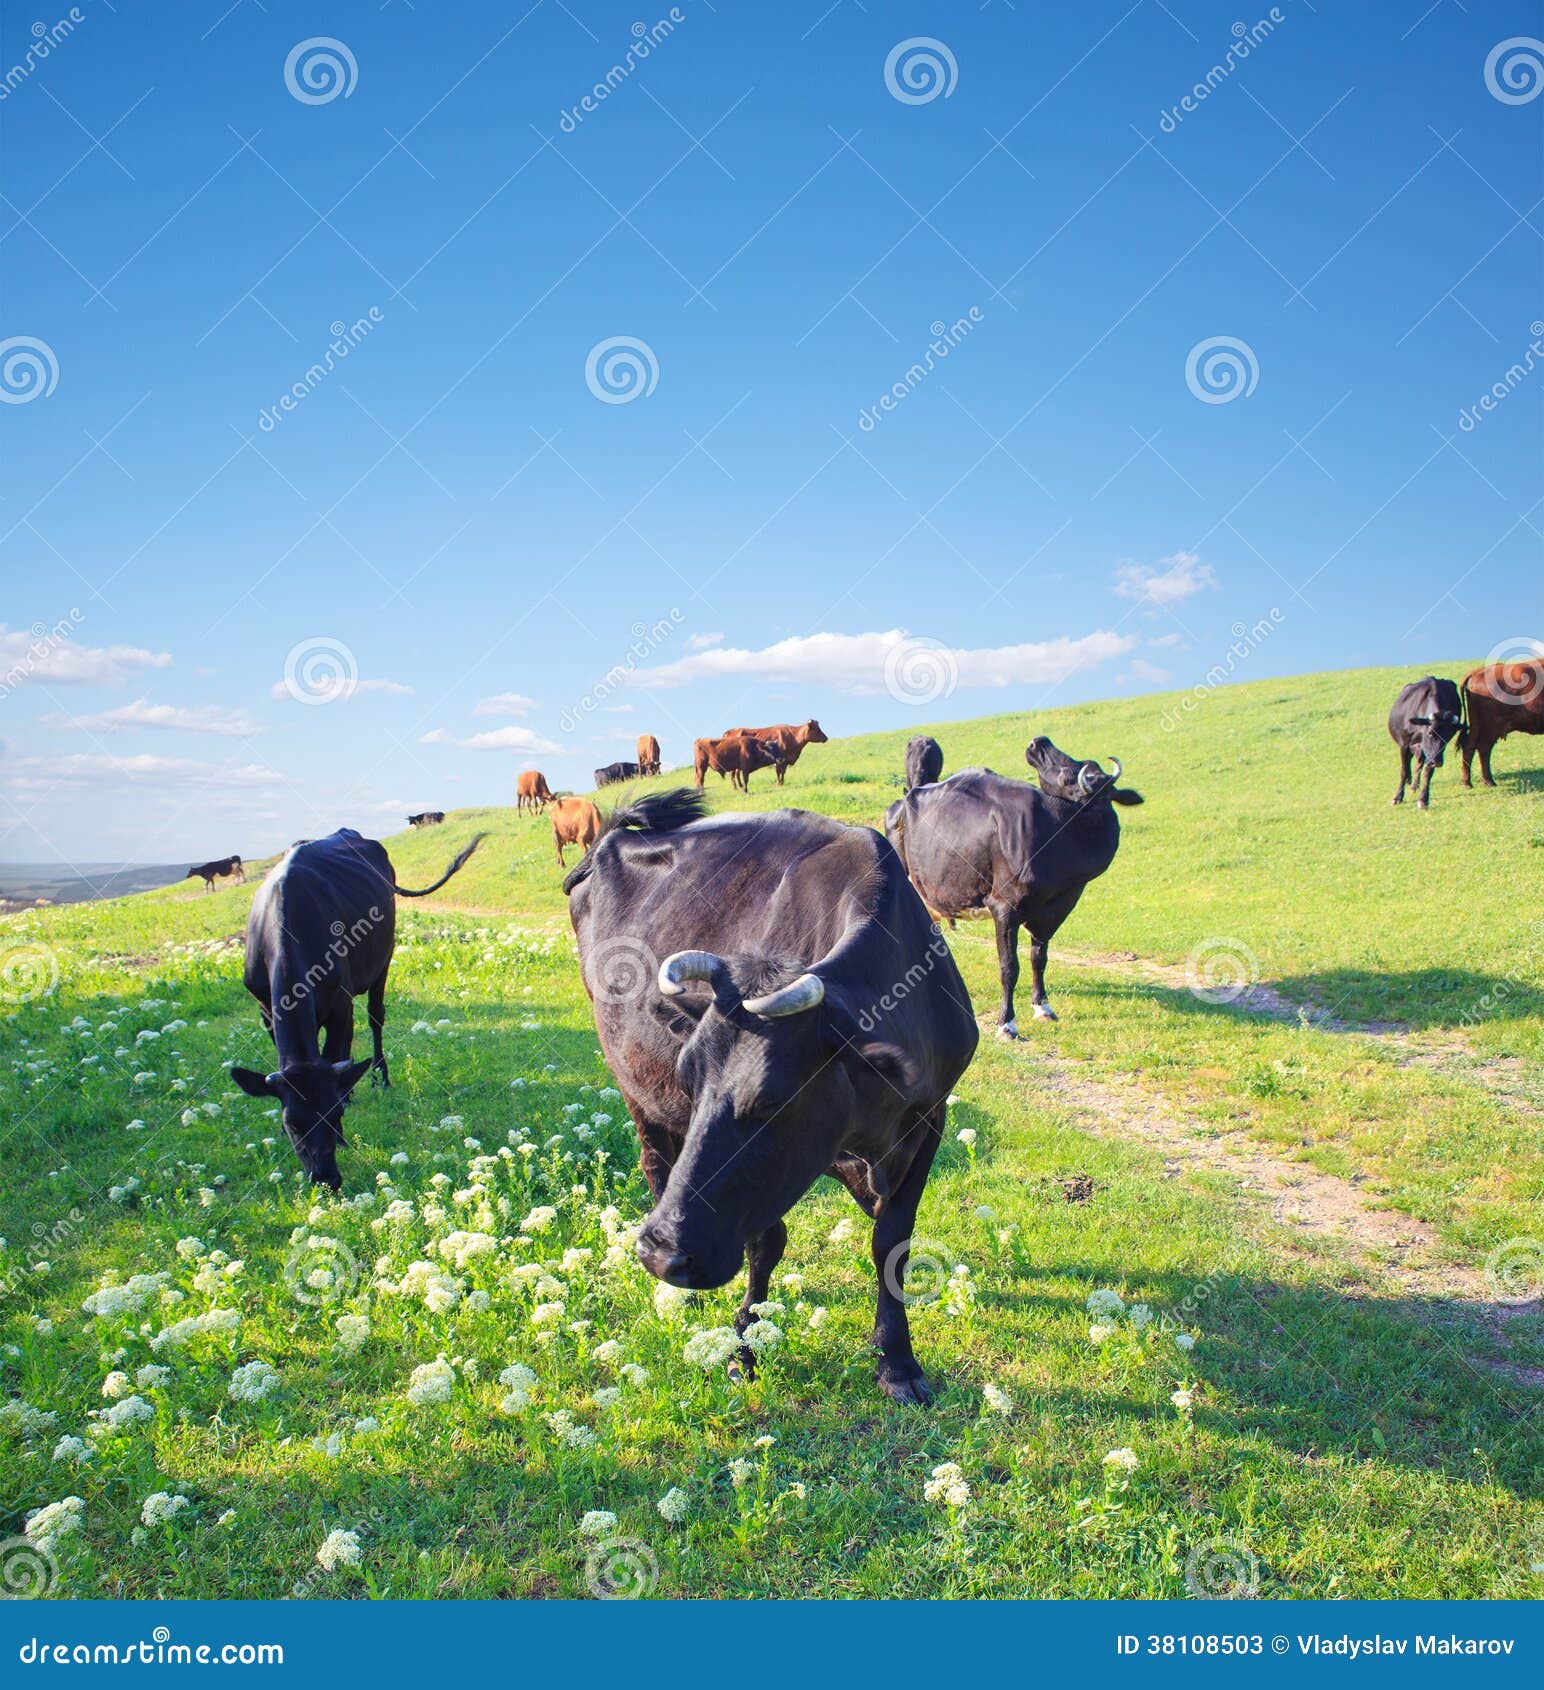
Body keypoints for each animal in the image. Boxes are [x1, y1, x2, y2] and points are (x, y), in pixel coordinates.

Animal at [229, 827, 485, 1188]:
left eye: (335, 1115)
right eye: (292, 1123)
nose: (326, 1178)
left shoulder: (340, 1003)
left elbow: (337, 1050)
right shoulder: (265, 1007)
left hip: (383, 960)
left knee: (375, 1018)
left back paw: (379, 1076)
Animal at [564, 789, 978, 1404]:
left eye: (774, 1101)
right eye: (689, 1079)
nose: (660, 1254)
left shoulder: (929, 1119)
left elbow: (891, 1242)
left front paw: (897, 1361)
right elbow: (767, 1243)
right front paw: (745, 1348)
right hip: (630, 1079)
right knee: (654, 1161)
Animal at [885, 738, 1143, 1037]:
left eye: (1068, 773)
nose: (1040, 741)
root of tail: (904, 798)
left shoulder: (1056, 910)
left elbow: (1038, 958)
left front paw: (1043, 1007)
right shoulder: (1004, 907)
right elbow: (1009, 966)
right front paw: (1006, 1023)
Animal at [1387, 678, 1465, 809]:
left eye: (1448, 736)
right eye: (1430, 733)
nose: (1438, 763)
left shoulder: (1432, 754)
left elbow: (1427, 772)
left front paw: (1423, 799)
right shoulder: (1404, 745)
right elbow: (1403, 770)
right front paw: (1397, 797)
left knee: (1419, 763)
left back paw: (1414, 785)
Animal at [1461, 659, 1544, 789]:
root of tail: (1478, 672)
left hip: (1477, 725)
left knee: (1469, 746)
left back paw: (1467, 782)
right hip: (1491, 728)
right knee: (1484, 748)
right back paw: (1489, 781)